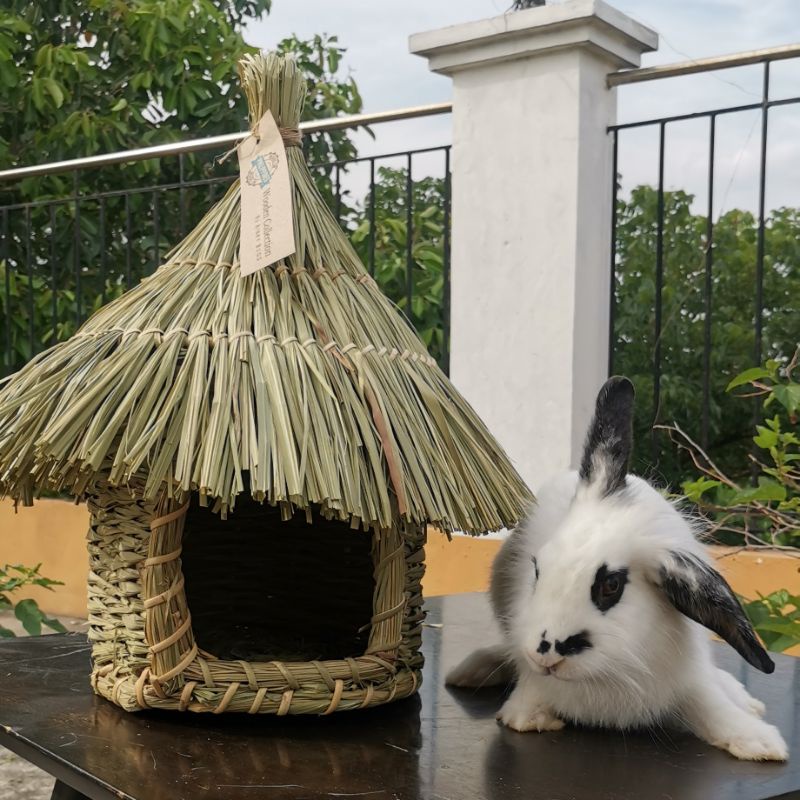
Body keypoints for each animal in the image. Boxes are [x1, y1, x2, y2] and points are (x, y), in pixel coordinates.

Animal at [446, 376, 788, 762]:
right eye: (538, 568)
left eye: (610, 585)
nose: (544, 655)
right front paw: (528, 716)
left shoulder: (688, 678)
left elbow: (710, 704)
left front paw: (761, 743)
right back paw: (470, 671)